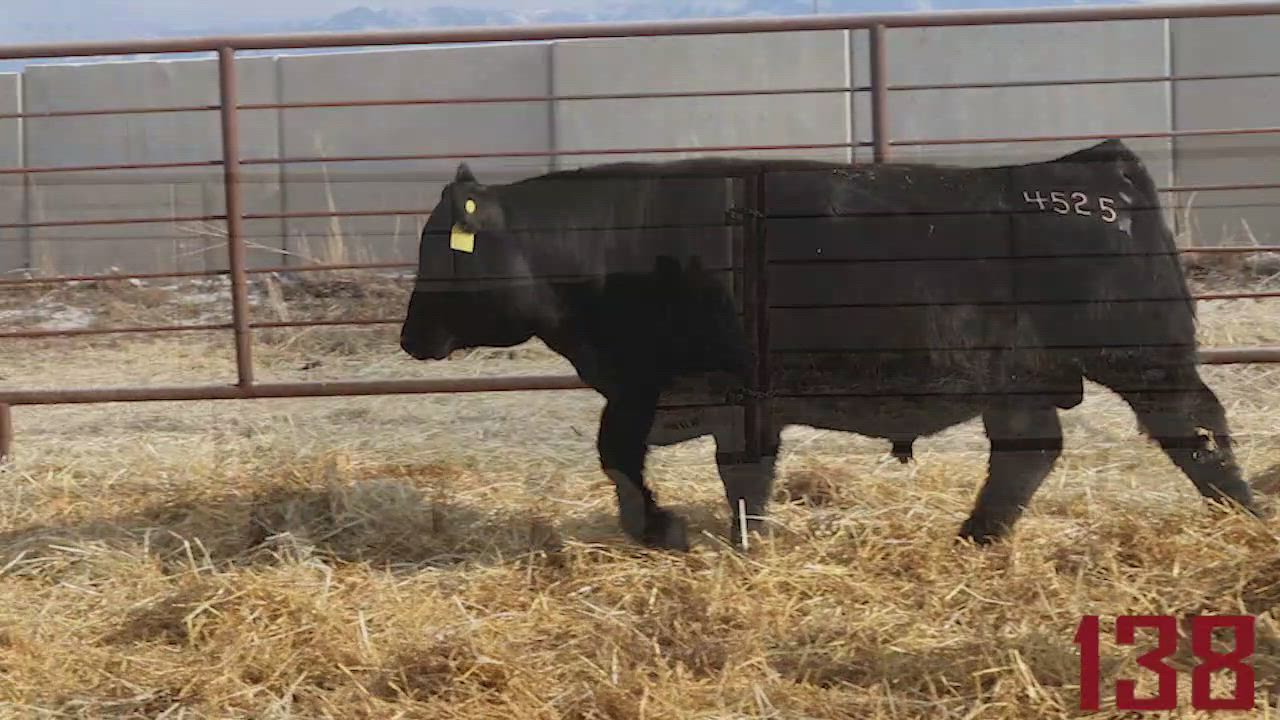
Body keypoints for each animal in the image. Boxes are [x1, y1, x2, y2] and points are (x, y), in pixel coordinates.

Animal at [399, 139, 1261, 551]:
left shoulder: (707, 388)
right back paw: (973, 539)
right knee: (1028, 454)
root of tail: (1099, 170)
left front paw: (675, 532)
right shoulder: (672, 394)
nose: (409, 336)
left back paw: (1244, 517)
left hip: (1147, 359)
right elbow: (698, 470)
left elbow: (671, 466)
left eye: (440, 247)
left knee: (1196, 430)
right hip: (1017, 380)